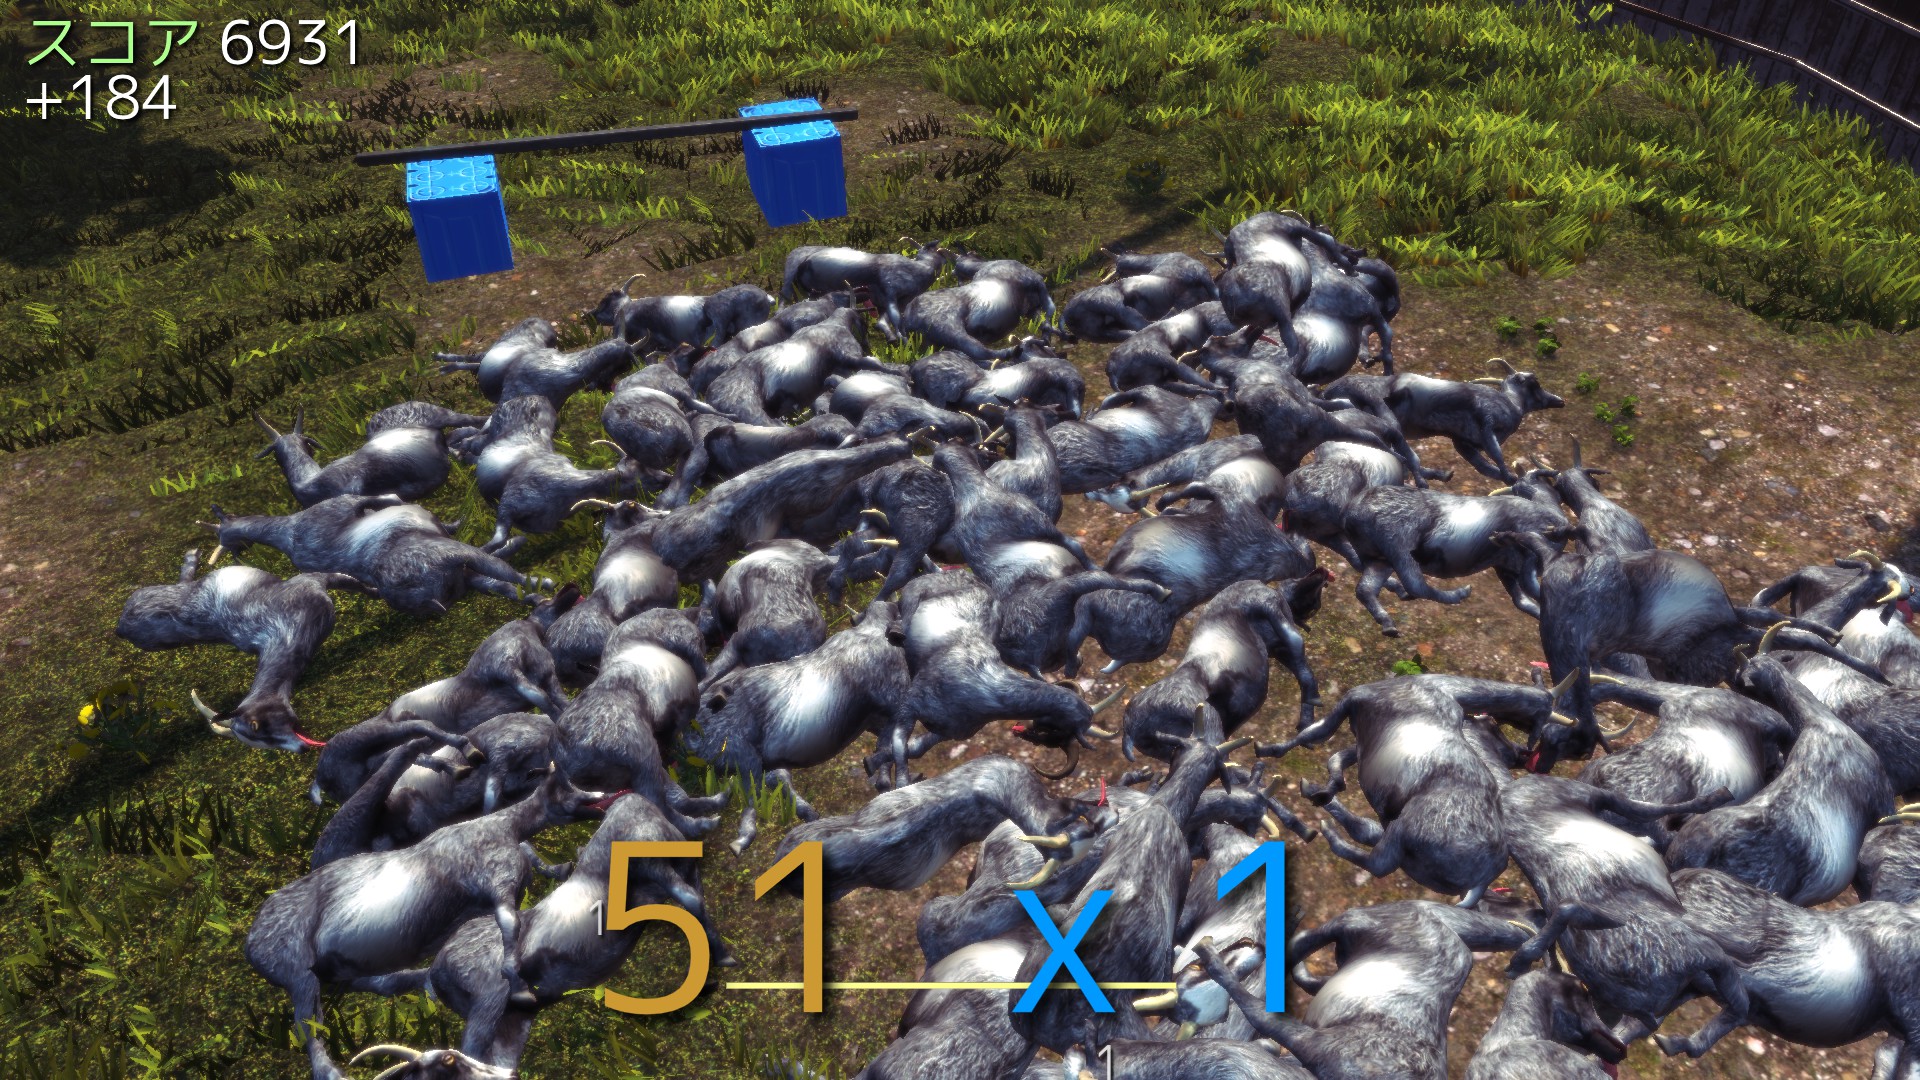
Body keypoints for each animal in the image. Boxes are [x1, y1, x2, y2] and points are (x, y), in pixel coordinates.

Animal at [117, 548, 362, 752]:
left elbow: (359, 583)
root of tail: (120, 625)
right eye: (265, 741)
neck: (287, 635)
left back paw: (192, 557)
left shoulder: (312, 581)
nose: (302, 749)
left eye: (257, 724)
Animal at [209, 495, 551, 616]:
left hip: (461, 573)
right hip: (453, 560)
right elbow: (387, 496)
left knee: (501, 578)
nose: (234, 552)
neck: (288, 532)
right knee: (502, 572)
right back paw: (544, 590)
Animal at [243, 771, 616, 1080]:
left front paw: (561, 867)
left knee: (377, 984)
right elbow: (509, 926)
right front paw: (520, 986)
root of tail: (250, 941)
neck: (504, 827)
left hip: (339, 971)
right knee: (308, 1023)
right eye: (568, 788)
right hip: (294, 967)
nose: (607, 793)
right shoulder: (495, 880)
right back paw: (333, 1071)